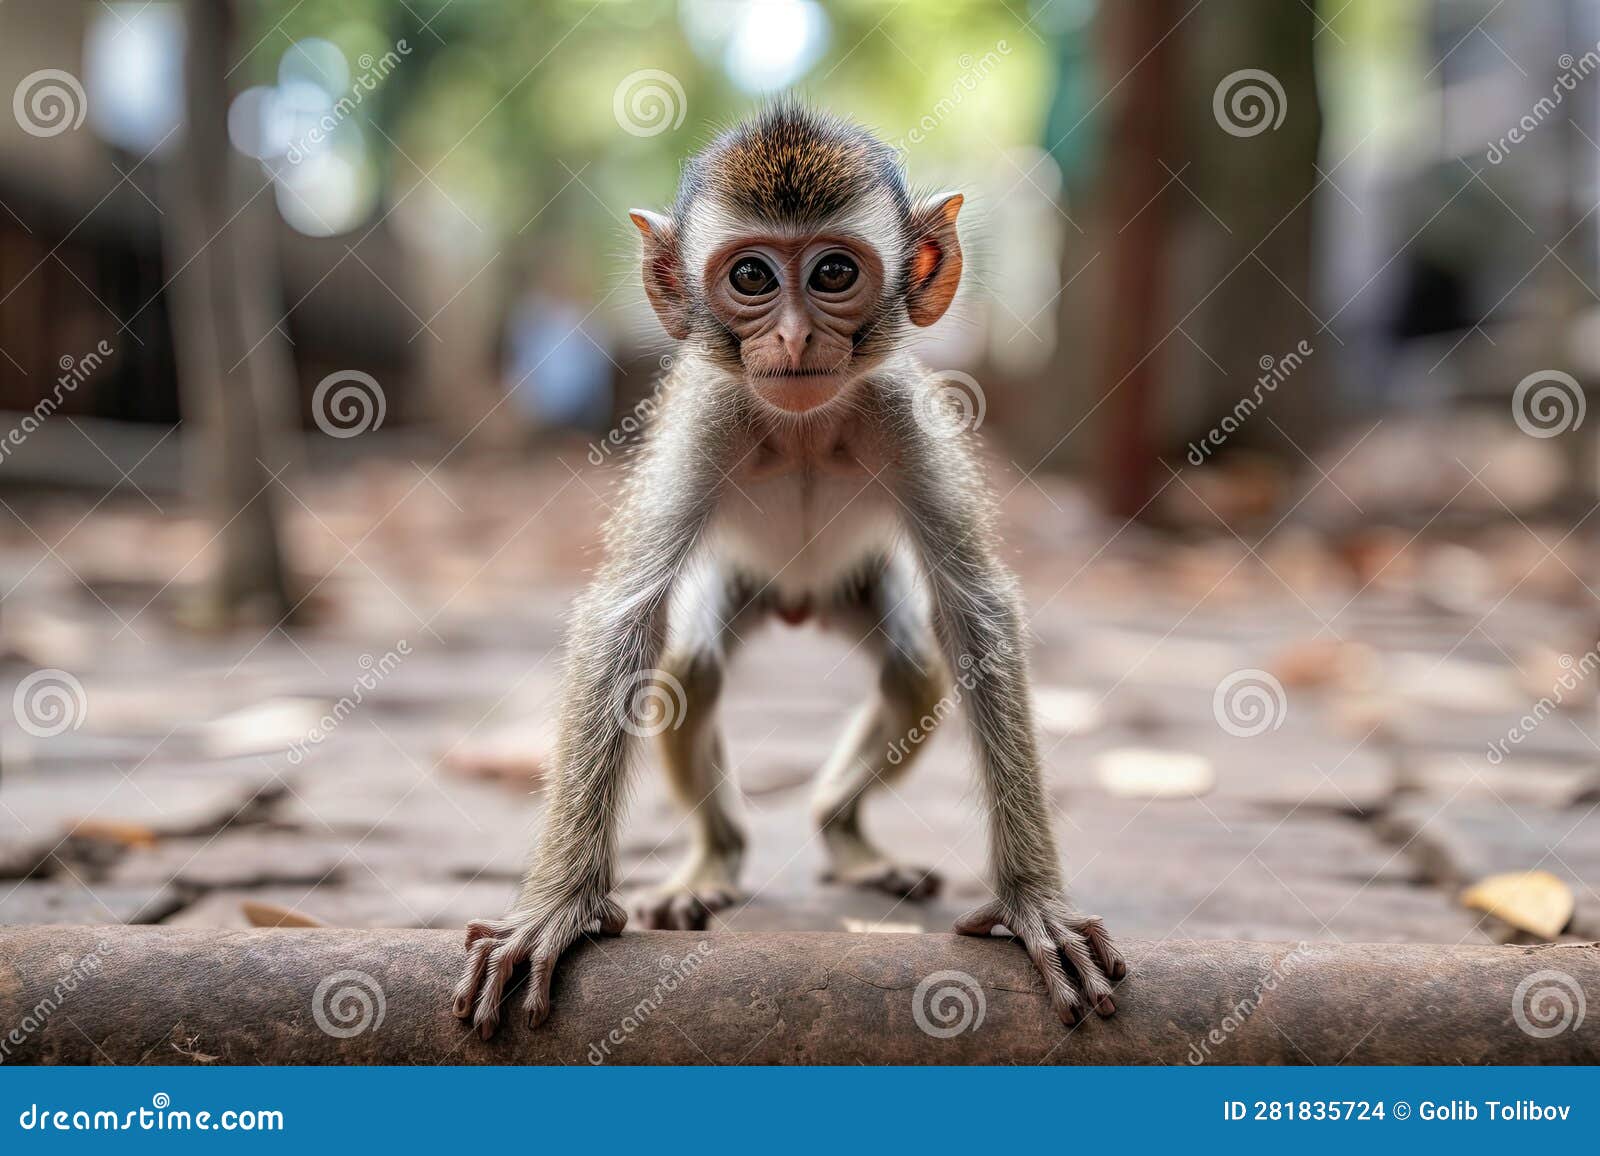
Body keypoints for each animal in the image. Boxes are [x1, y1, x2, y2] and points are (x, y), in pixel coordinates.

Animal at [453, 103, 1124, 1039]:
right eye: (753, 277)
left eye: (834, 271)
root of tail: (799, 604)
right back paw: (713, 865)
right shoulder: (709, 412)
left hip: (854, 592)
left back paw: (847, 839)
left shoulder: (902, 413)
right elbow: (627, 614)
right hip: (741, 592)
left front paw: (1032, 904)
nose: (795, 335)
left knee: (912, 672)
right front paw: (558, 908)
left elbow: (976, 611)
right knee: (689, 671)